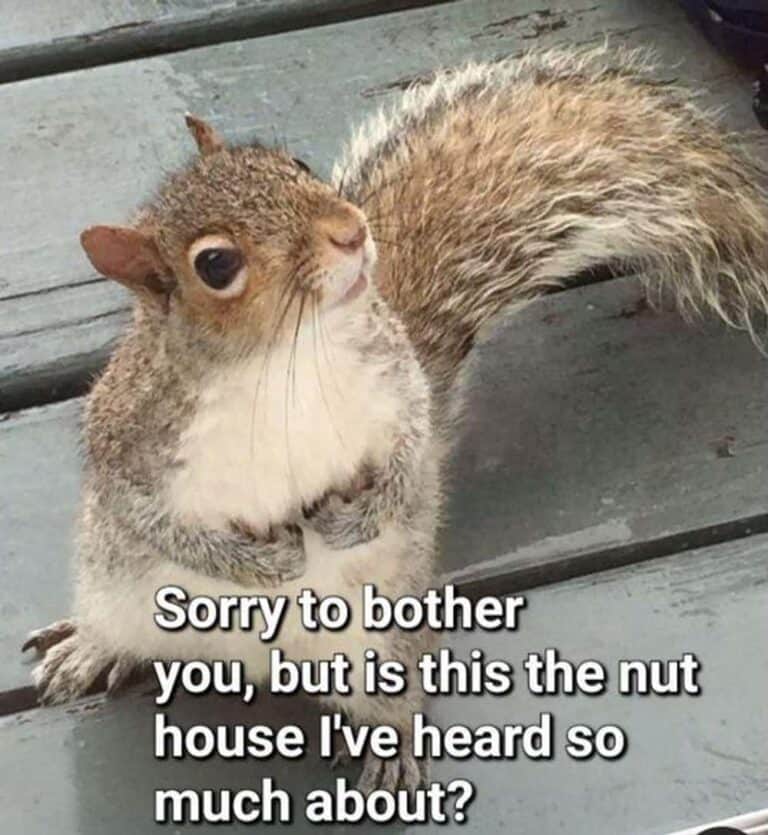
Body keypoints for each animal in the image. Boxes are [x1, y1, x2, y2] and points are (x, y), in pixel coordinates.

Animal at [23, 46, 768, 793]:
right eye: (216, 264)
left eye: (292, 164)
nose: (351, 232)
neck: (287, 357)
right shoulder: (129, 433)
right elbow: (150, 516)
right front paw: (256, 561)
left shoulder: (397, 385)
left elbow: (413, 454)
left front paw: (361, 516)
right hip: (113, 589)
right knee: (120, 623)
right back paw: (89, 648)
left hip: (381, 641)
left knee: (394, 697)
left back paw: (393, 741)